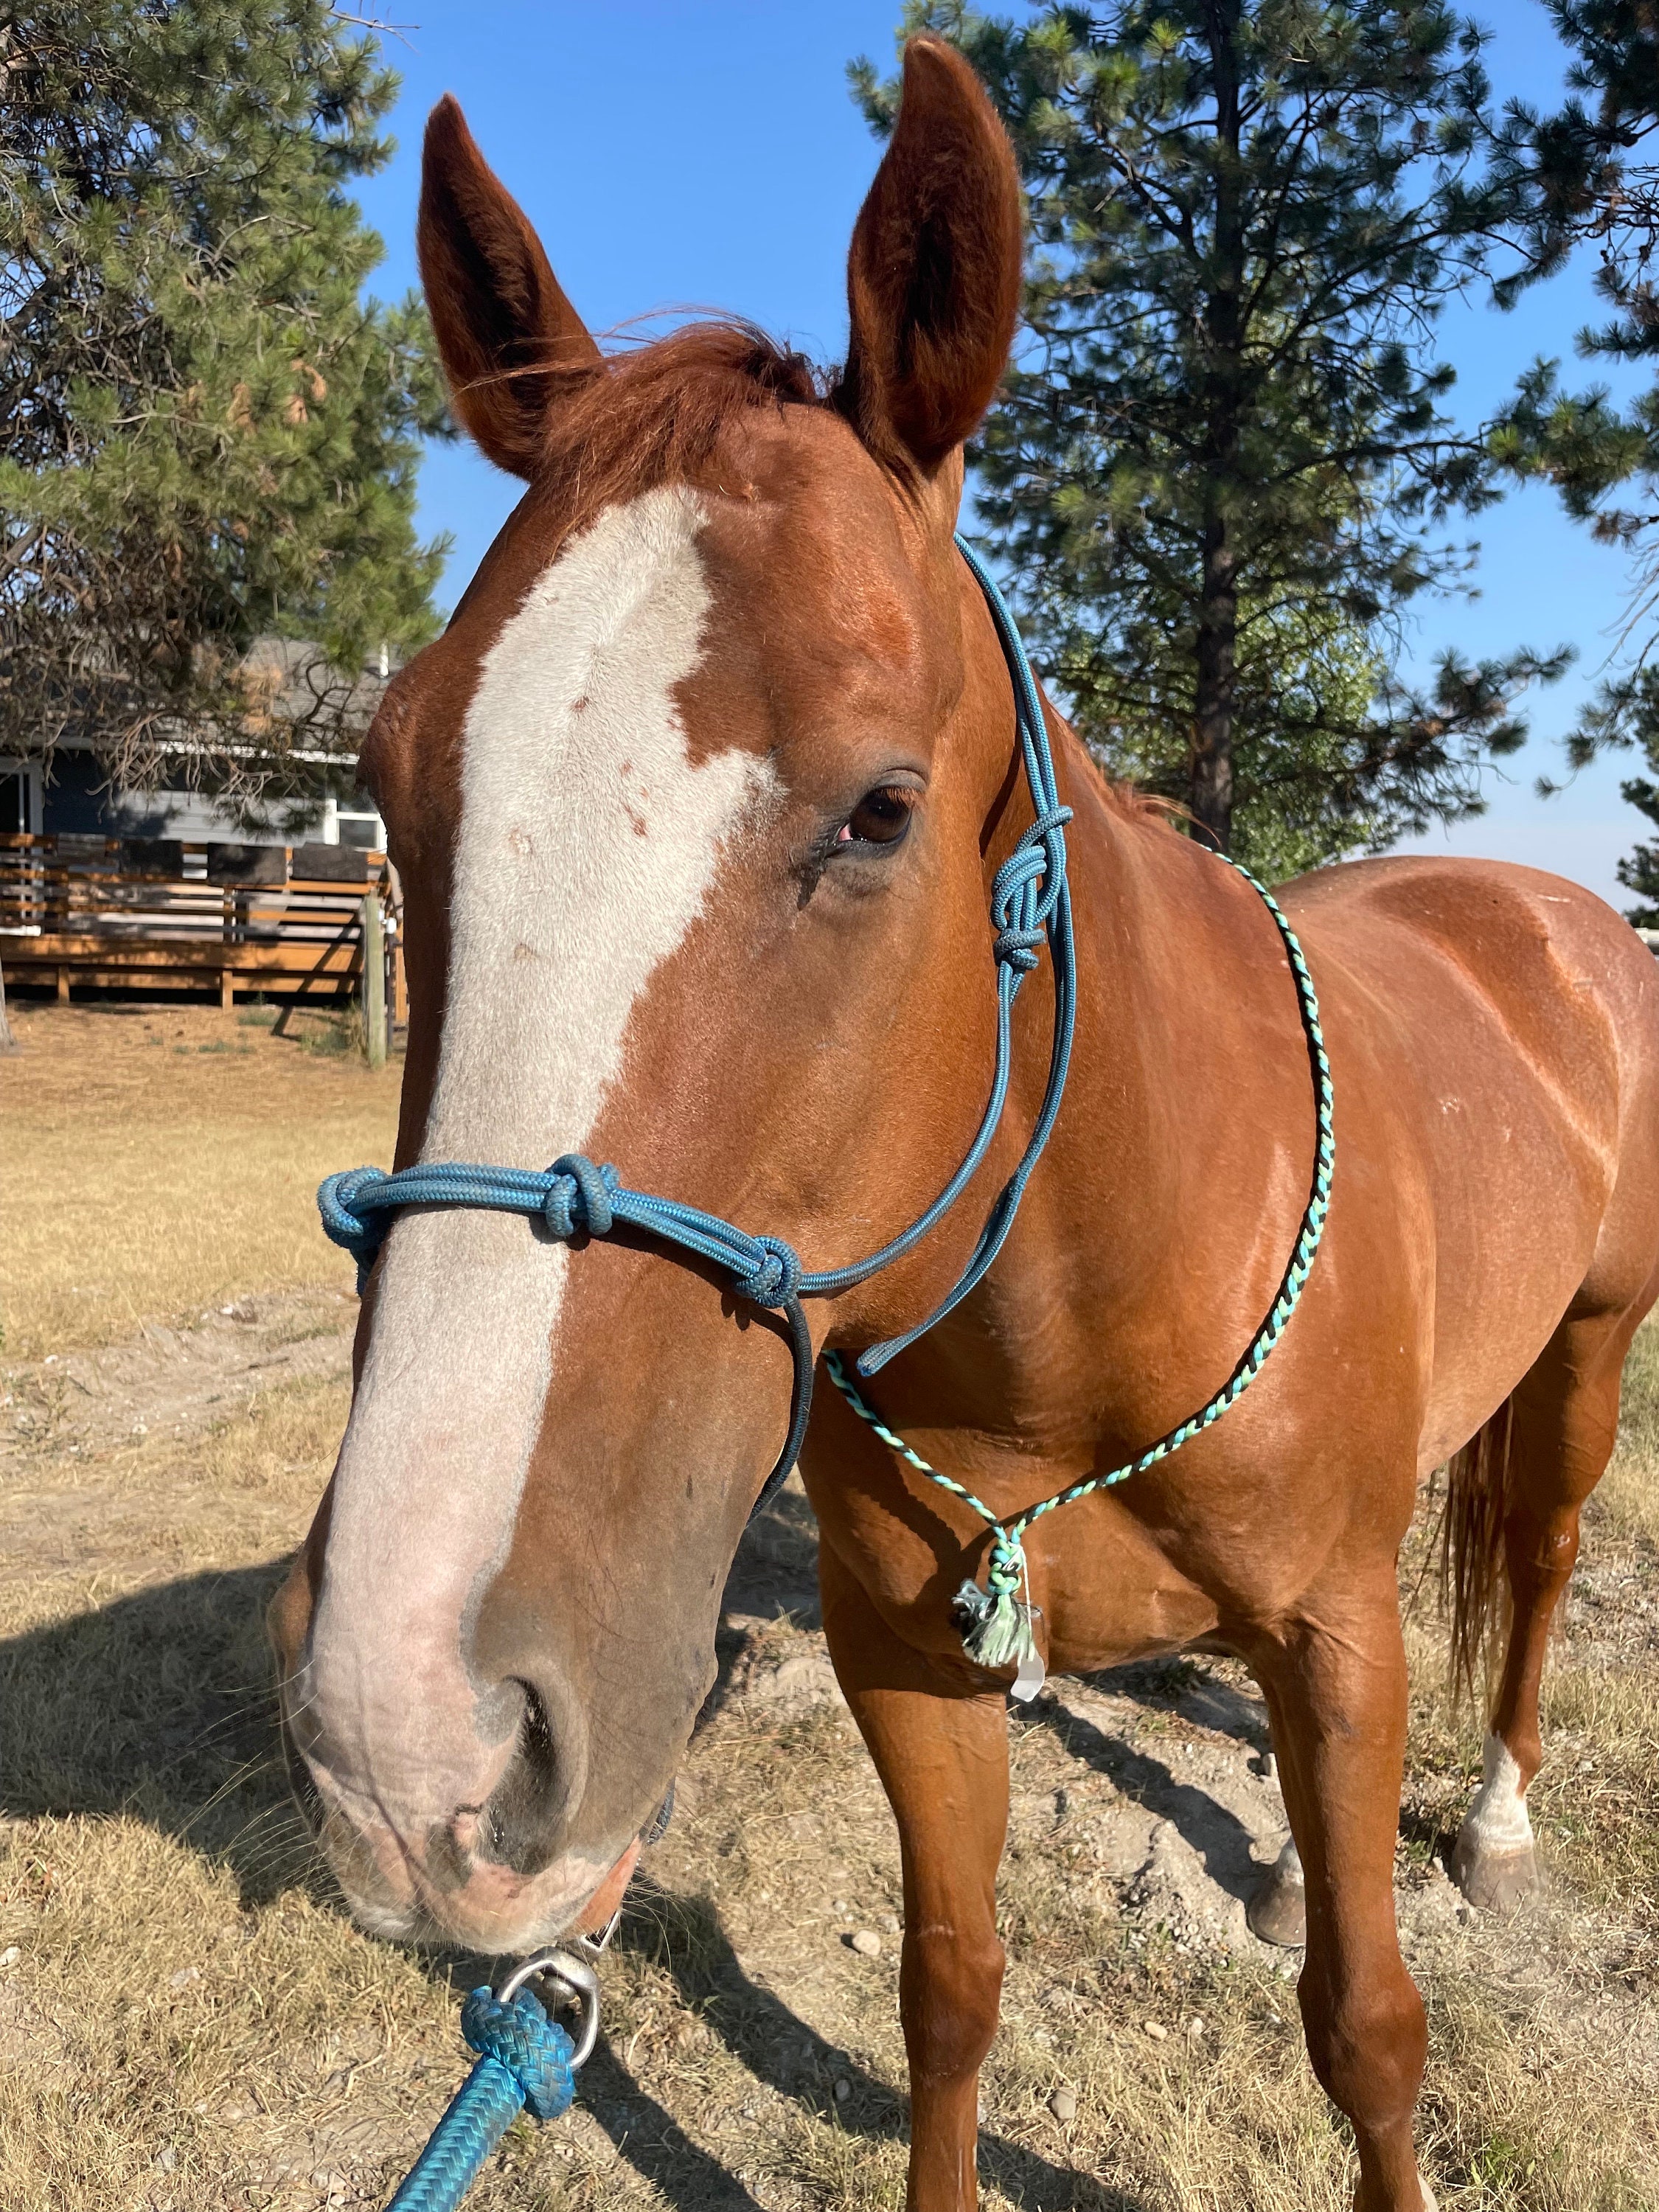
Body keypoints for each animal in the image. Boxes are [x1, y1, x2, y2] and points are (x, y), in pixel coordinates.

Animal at [269, 40, 1659, 2212]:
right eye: (396, 776)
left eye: (876, 813)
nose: (412, 1744)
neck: (1087, 1308)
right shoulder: (905, 1659)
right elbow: (947, 1989)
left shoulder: (1341, 1632)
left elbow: (1368, 2026)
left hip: (1588, 1353)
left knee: (1539, 1556)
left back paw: (1497, 1814)